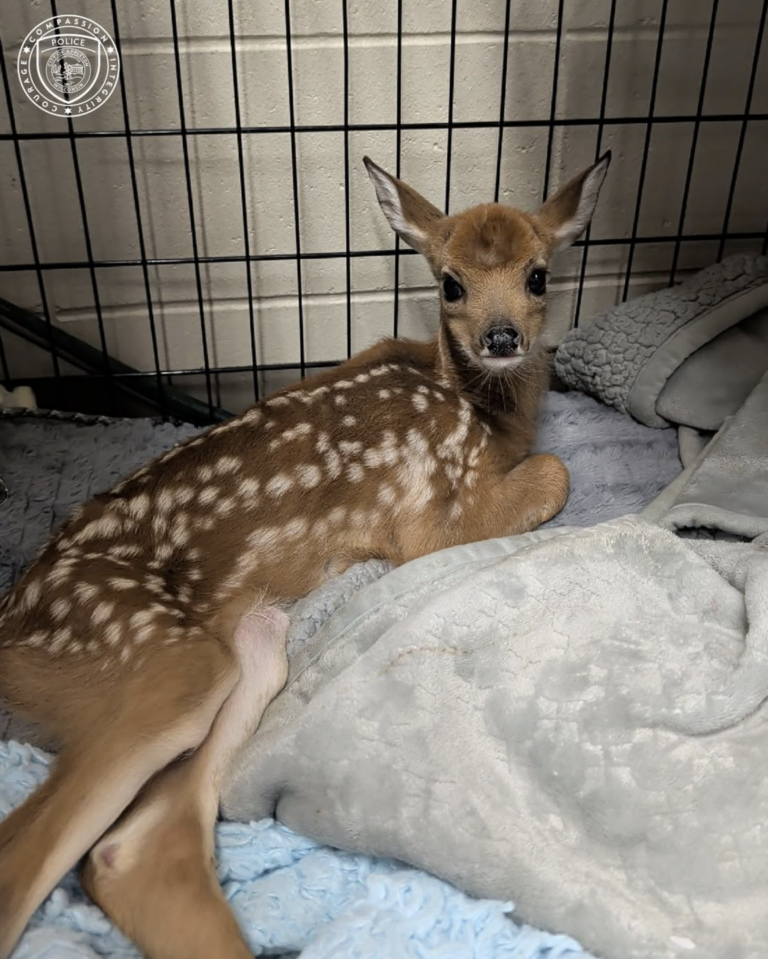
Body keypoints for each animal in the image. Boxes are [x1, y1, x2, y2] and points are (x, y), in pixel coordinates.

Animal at [0, 150, 610, 959]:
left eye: (539, 274)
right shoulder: (429, 511)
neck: (482, 412)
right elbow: (557, 471)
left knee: (131, 849)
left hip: (249, 646)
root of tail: (10, 621)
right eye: (450, 282)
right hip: (143, 646)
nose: (502, 336)